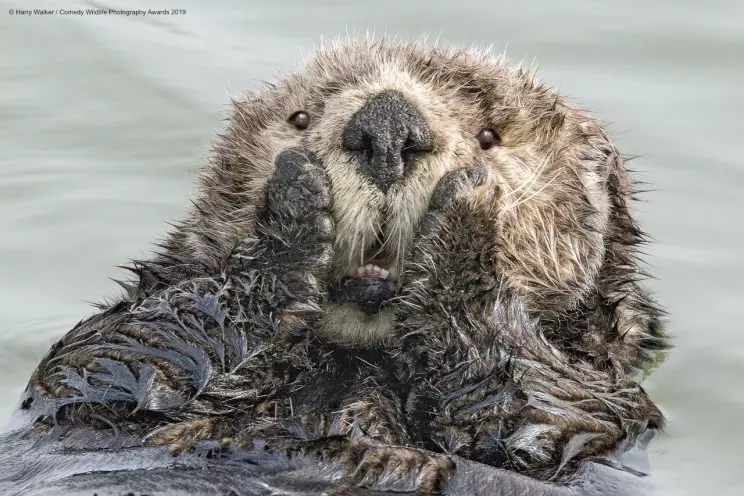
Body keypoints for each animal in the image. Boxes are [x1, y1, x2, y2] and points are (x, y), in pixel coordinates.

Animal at [2, 39, 664, 496]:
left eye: (489, 136)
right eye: (300, 118)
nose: (388, 126)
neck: (356, 361)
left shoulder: (602, 409)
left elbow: (530, 411)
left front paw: (469, 211)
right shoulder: (88, 376)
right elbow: (114, 356)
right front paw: (294, 197)